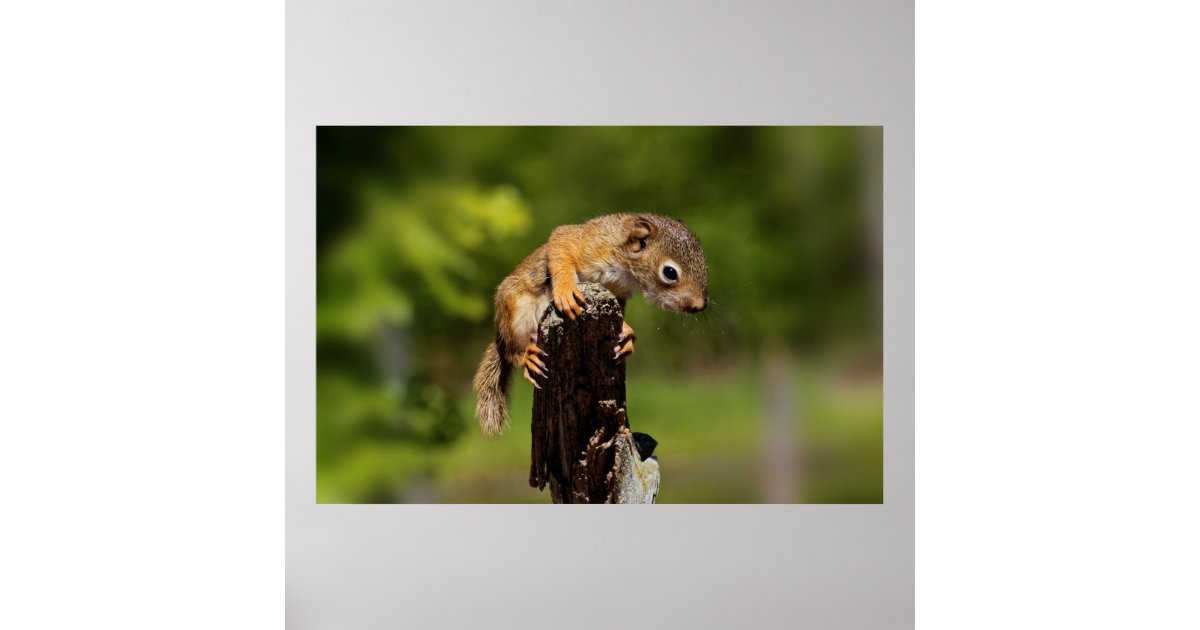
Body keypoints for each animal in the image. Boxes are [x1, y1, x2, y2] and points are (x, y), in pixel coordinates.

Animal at [472, 213, 709, 436]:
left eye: (705, 265)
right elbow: (561, 246)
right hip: (515, 312)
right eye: (670, 272)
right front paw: (566, 289)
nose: (700, 305)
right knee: (511, 350)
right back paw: (526, 355)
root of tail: (500, 336)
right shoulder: (587, 242)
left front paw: (627, 334)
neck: (626, 268)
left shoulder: (618, 291)